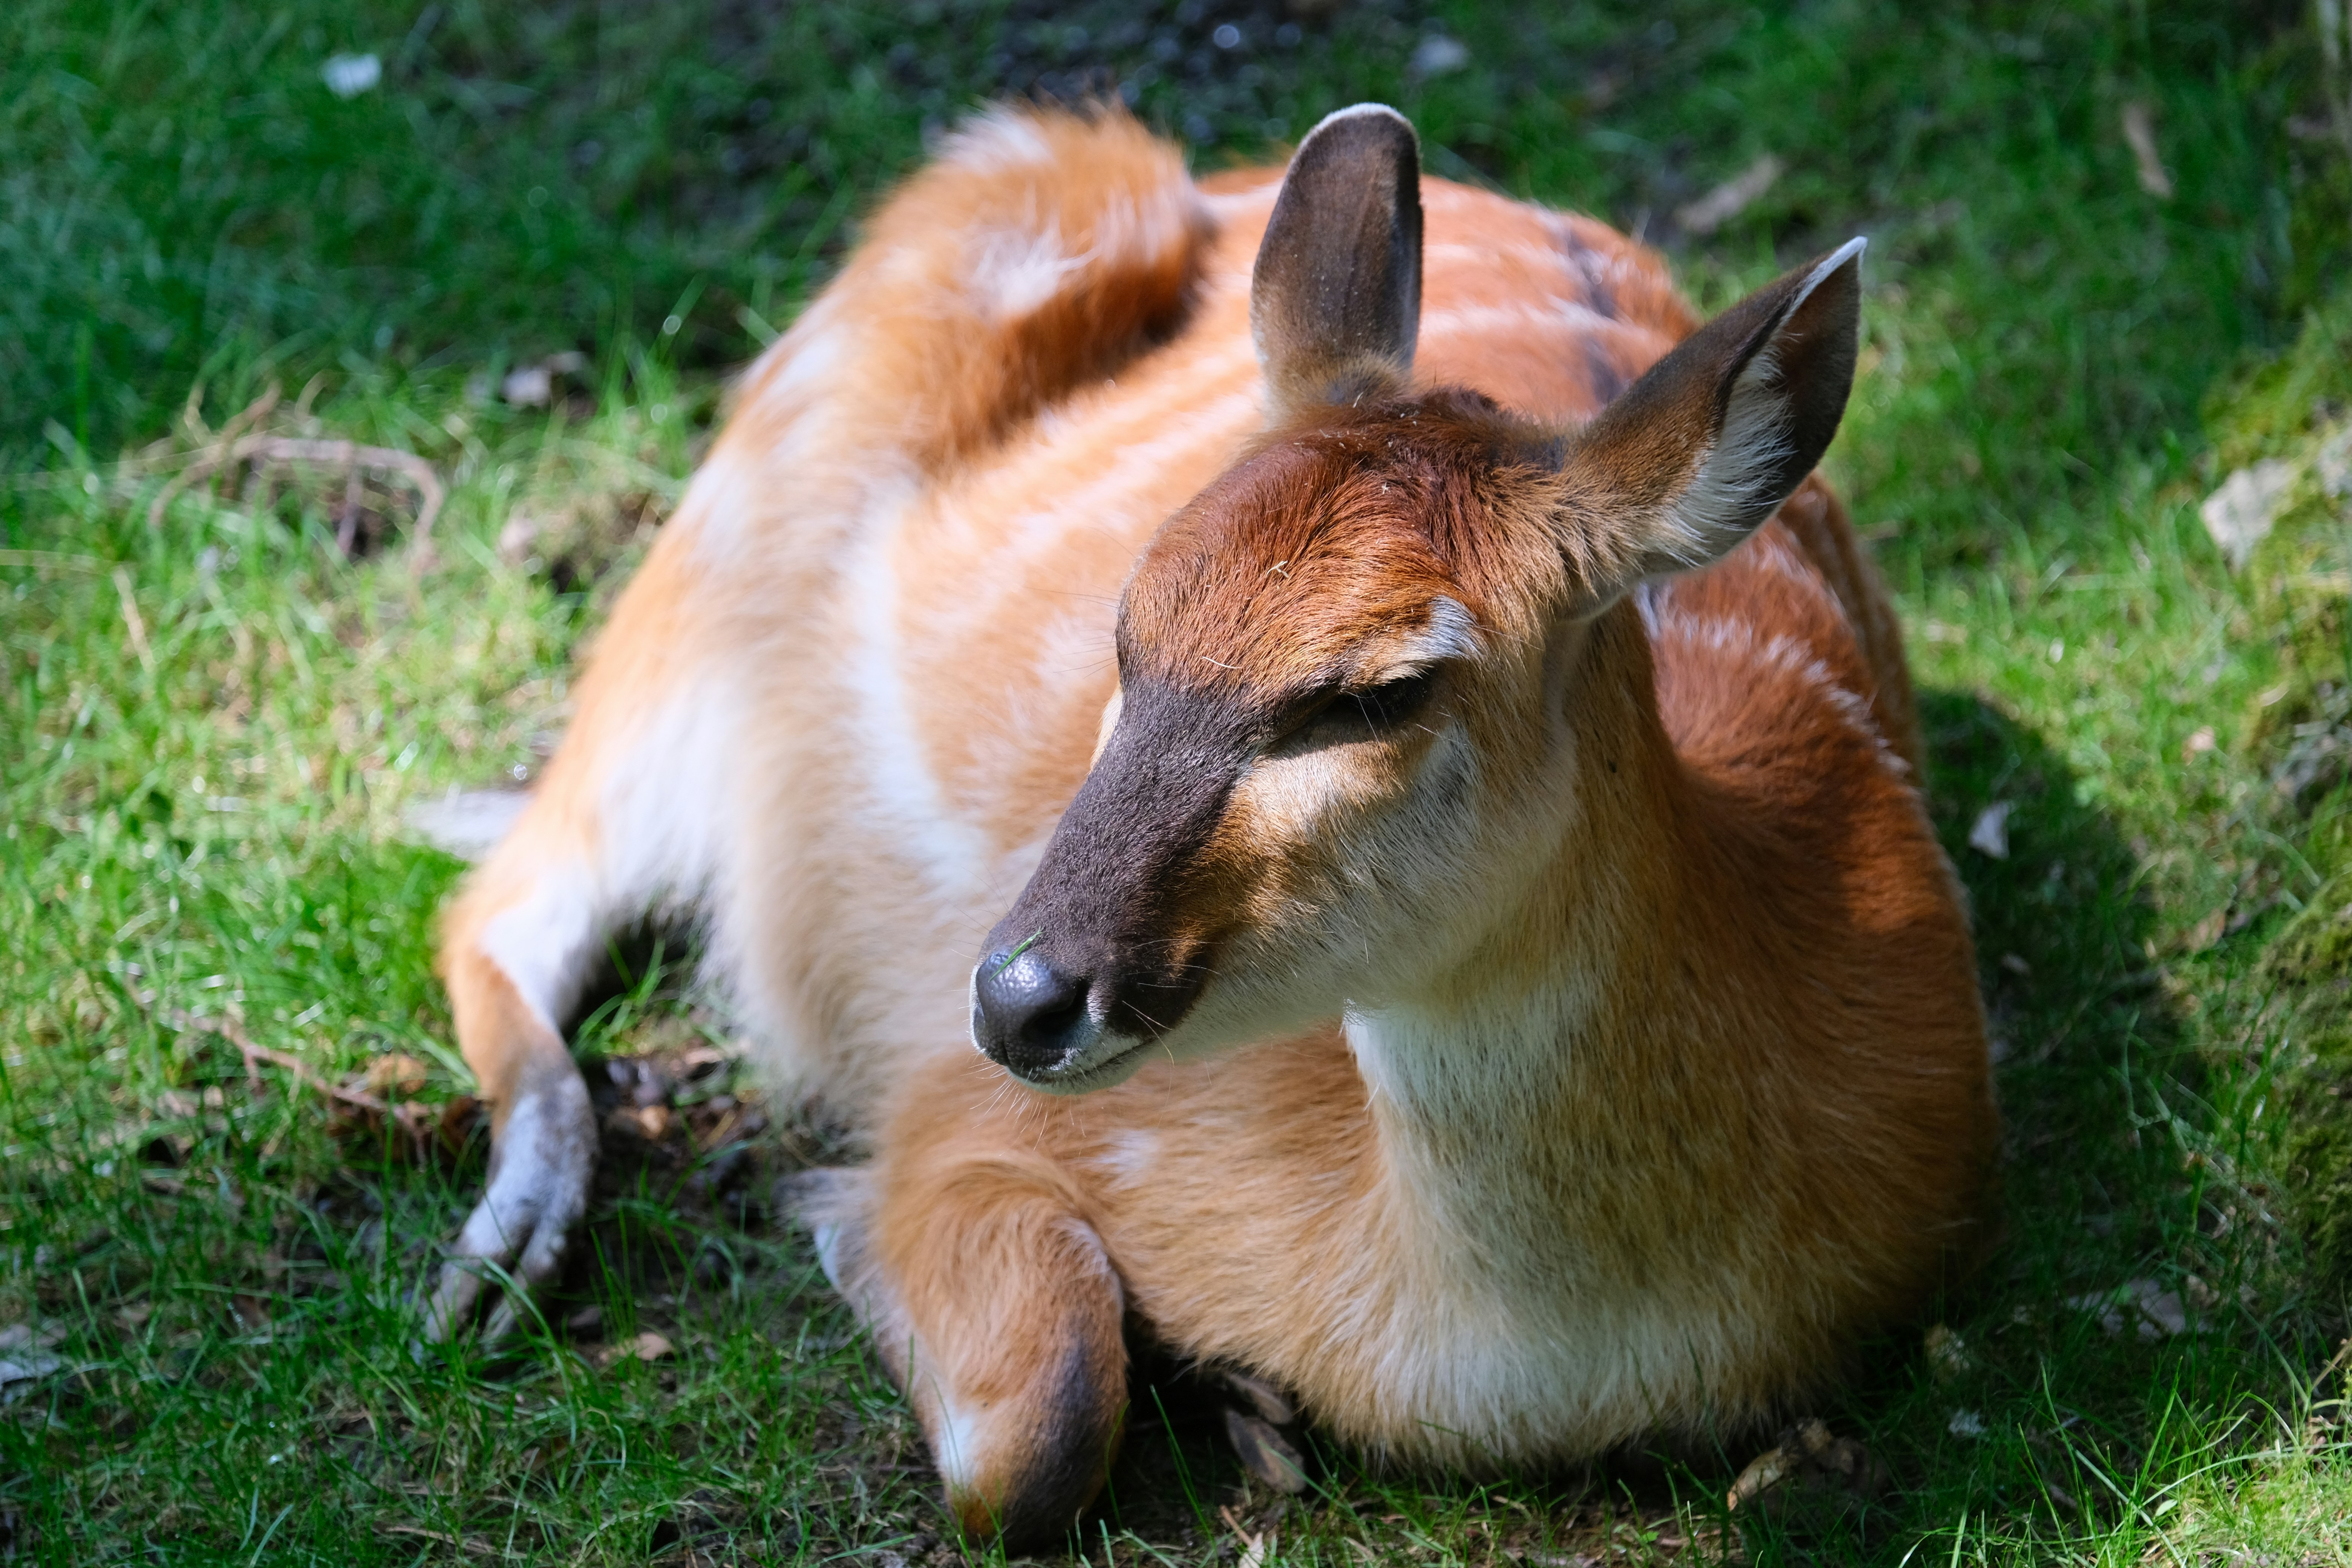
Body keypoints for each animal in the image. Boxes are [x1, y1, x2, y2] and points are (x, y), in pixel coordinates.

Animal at [425, 103, 1999, 1545]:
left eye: (1375, 691)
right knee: (508, 886)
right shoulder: (962, 1113)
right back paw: (498, 1257)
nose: (1016, 996)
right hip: (732, 538)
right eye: (1125, 631)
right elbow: (1034, 1432)